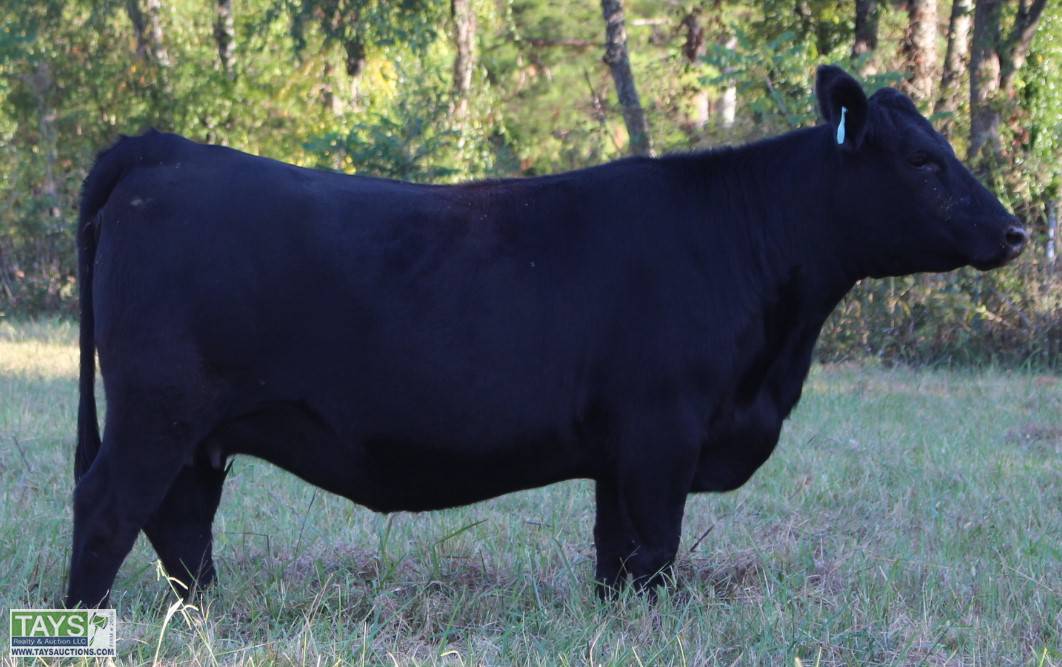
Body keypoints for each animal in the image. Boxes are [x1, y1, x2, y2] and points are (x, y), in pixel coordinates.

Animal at [66, 66, 1025, 607]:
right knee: (110, 506)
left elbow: (614, 558)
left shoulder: (621, 451)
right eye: (924, 161)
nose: (1014, 231)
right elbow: (653, 553)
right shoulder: (661, 433)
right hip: (157, 409)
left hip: (199, 432)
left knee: (182, 523)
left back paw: (205, 617)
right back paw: (85, 615)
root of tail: (163, 148)